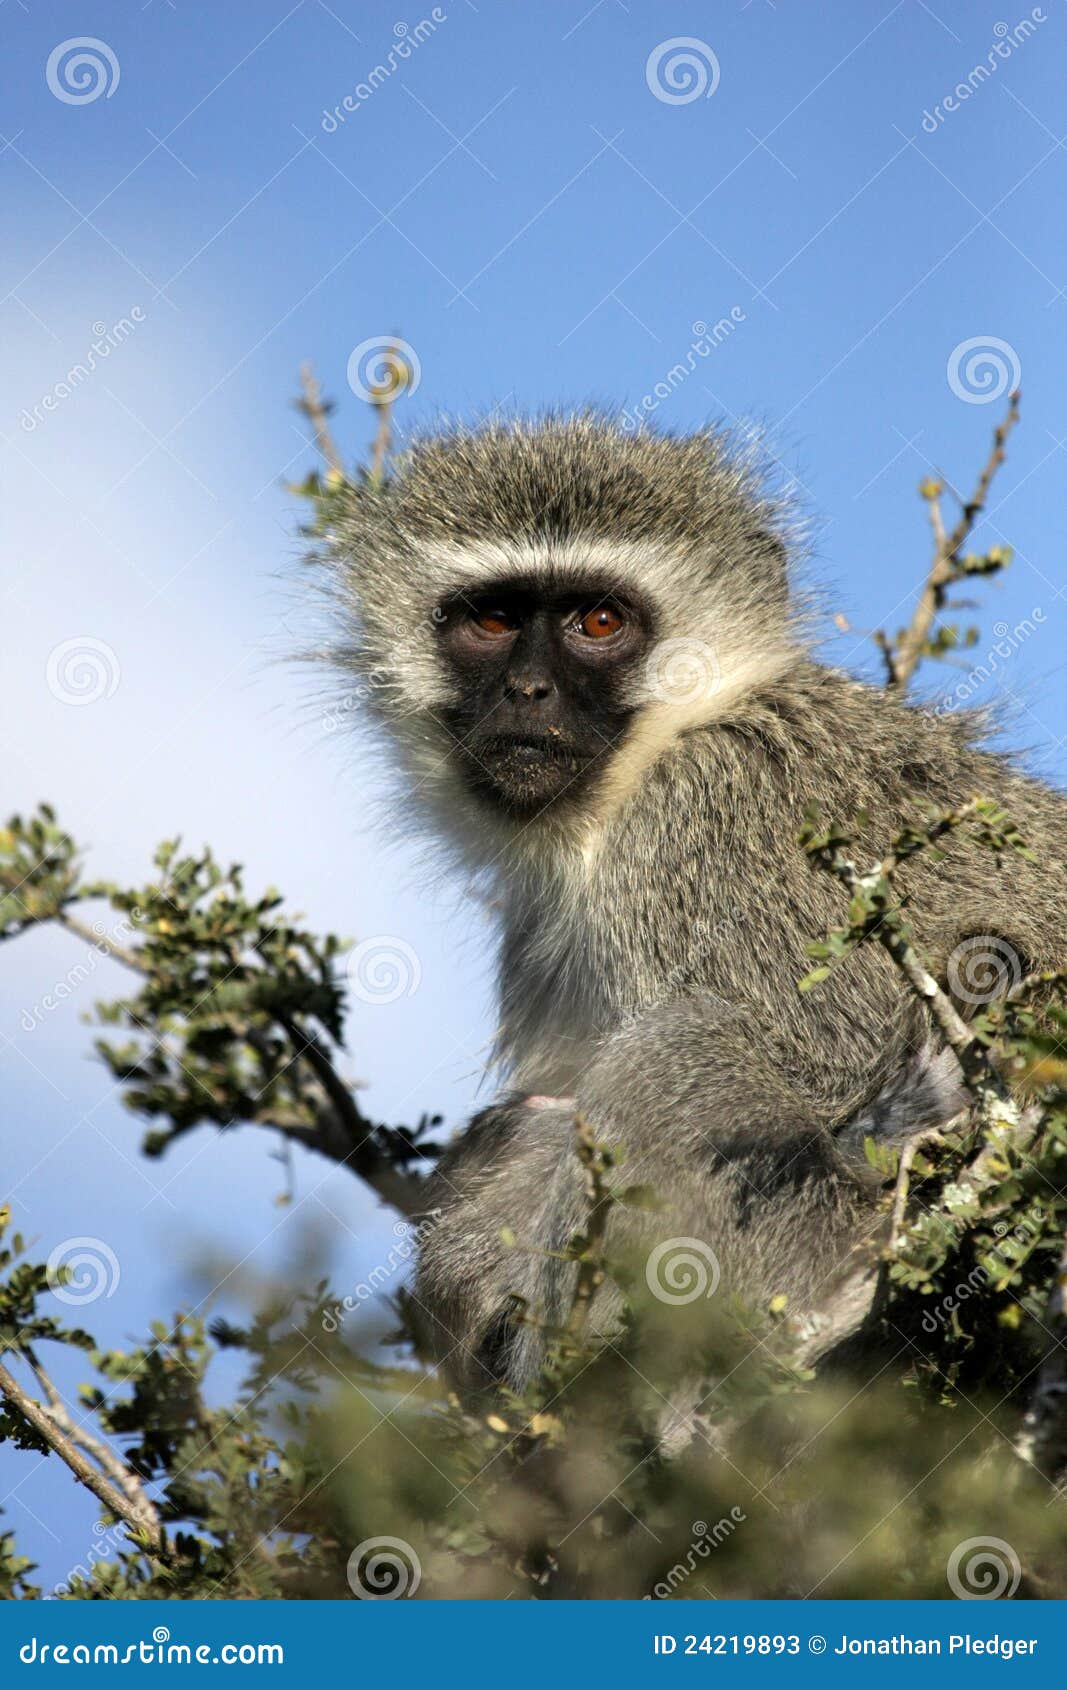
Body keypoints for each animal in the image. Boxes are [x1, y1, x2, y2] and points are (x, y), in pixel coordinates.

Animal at [319, 415, 1067, 1399]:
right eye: (490, 620)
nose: (527, 691)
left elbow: (820, 1061)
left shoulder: (702, 824)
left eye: (600, 621)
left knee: (681, 1045)